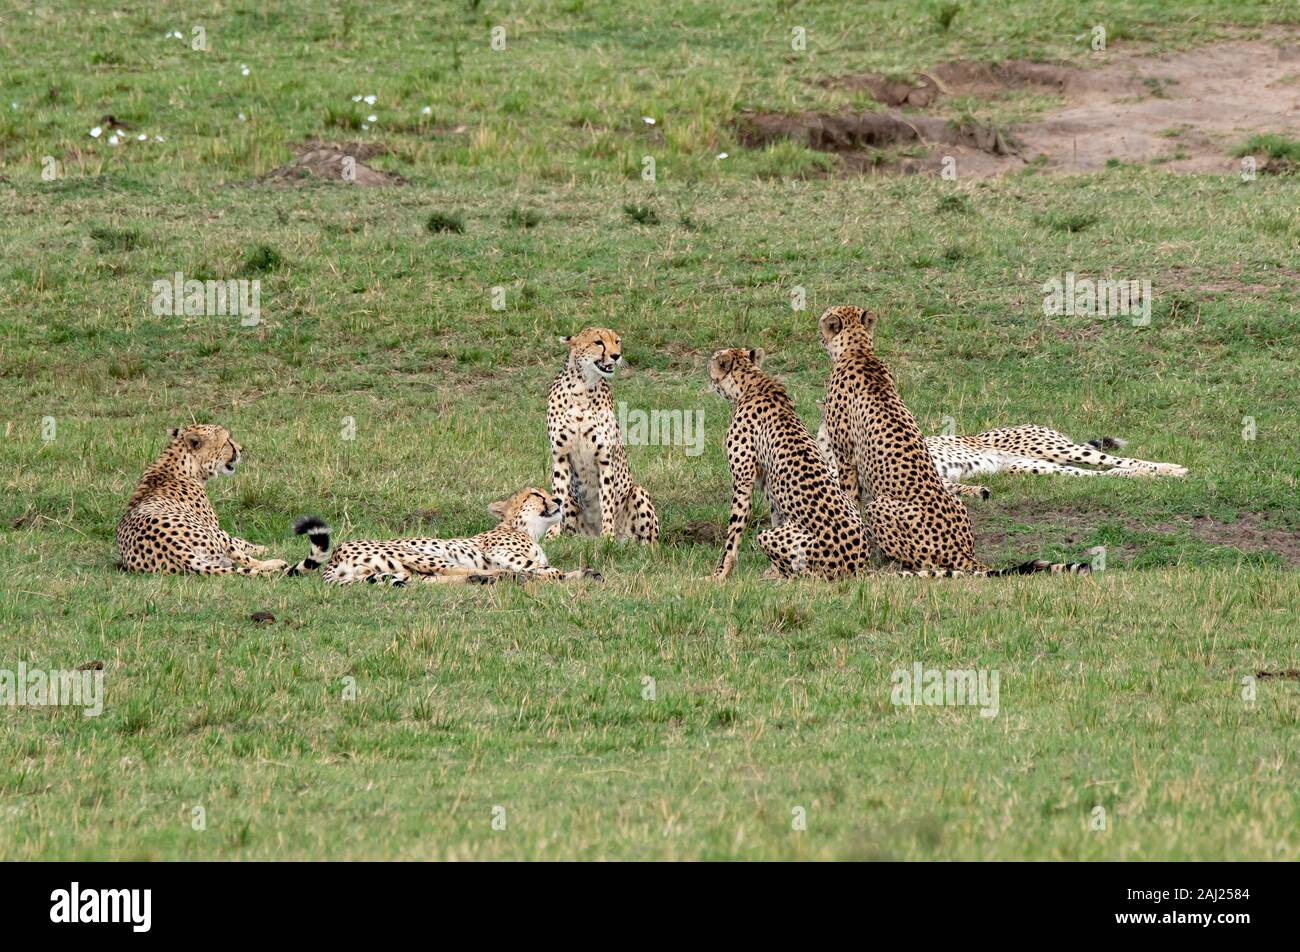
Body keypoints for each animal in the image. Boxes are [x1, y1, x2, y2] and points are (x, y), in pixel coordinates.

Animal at [116, 424, 319, 576]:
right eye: (227, 441)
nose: (241, 449)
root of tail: (174, 548)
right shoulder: (217, 529)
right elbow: (240, 541)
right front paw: (262, 548)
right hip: (214, 534)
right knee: (246, 561)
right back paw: (274, 563)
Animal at [312, 487, 604, 586]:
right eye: (535, 494)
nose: (558, 500)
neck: (527, 530)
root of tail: (335, 554)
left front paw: (585, 573)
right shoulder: (502, 553)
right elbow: (549, 570)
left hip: (405, 570)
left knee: (426, 581)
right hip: (421, 554)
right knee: (456, 570)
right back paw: (502, 577)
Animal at [547, 327, 658, 542]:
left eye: (617, 341)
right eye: (598, 342)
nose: (616, 355)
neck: (582, 388)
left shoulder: (605, 459)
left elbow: (606, 499)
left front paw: (607, 536)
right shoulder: (560, 457)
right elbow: (558, 496)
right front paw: (551, 535)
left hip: (638, 492)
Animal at [817, 305, 1090, 578]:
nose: (820, 328)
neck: (858, 350)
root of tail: (963, 551)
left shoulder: (845, 456)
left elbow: (850, 498)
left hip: (880, 506)